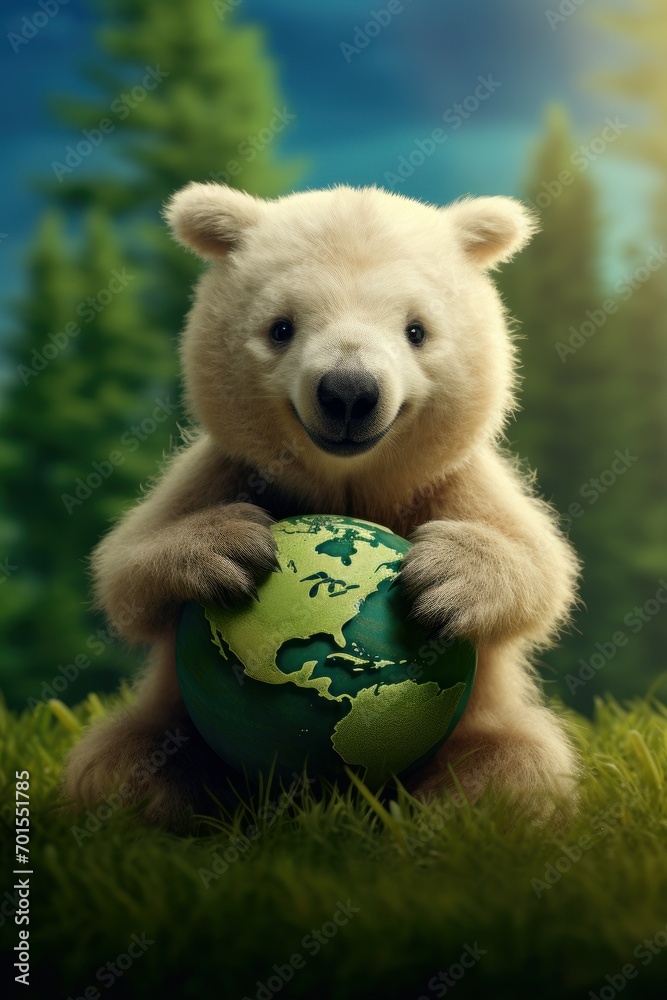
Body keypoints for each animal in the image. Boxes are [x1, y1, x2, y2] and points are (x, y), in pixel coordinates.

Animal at [62, 182, 581, 827]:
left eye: (417, 330)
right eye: (281, 327)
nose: (349, 392)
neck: (347, 483)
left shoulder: (447, 481)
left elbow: (539, 568)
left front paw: (447, 574)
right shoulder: (229, 471)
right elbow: (127, 571)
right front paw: (227, 549)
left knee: (517, 766)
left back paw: (457, 807)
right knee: (121, 760)